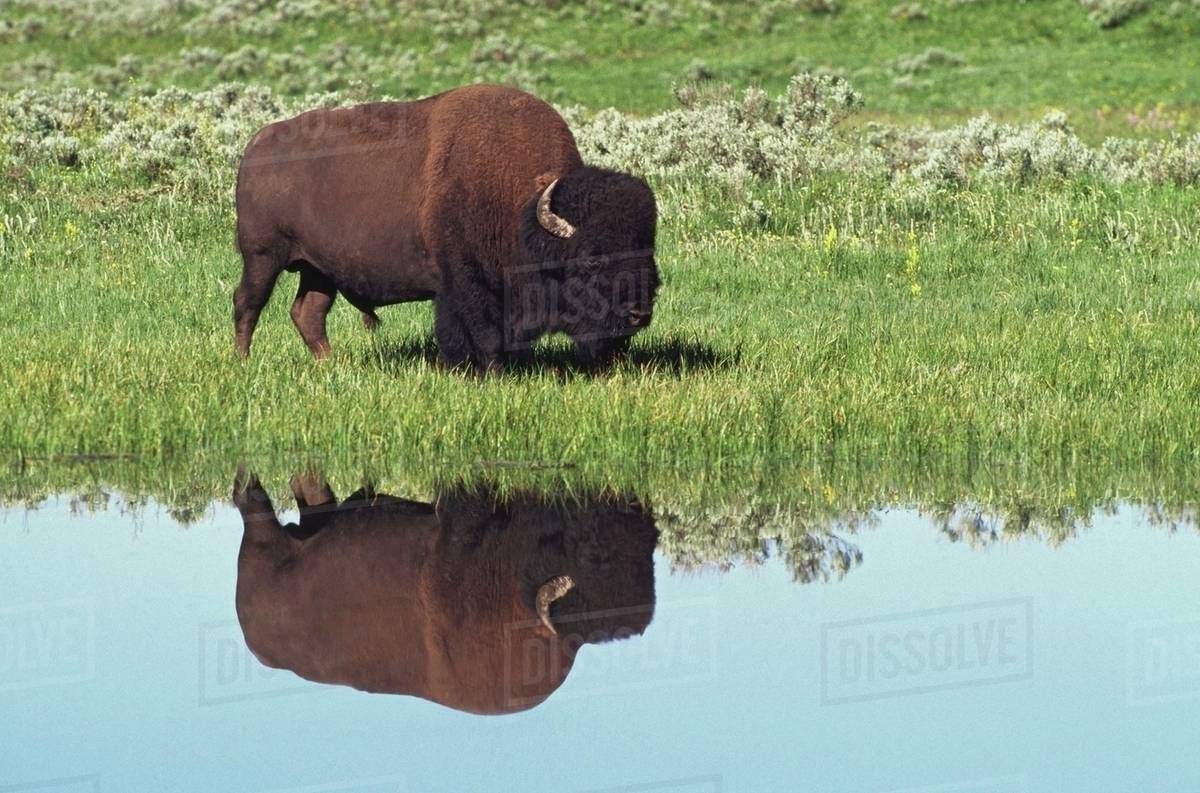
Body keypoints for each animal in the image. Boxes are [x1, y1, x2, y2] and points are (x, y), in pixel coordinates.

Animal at [232, 472, 658, 714]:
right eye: (592, 553)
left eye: (649, 544)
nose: (634, 504)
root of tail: (253, 639)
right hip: (263, 536)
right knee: (249, 499)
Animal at [234, 84, 660, 372]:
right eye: (590, 260)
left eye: (648, 252)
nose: (638, 314)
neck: (520, 206)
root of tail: (256, 144)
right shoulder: (464, 284)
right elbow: (482, 335)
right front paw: (488, 373)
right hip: (263, 257)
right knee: (247, 303)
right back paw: (243, 362)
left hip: (319, 270)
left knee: (308, 313)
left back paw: (330, 364)